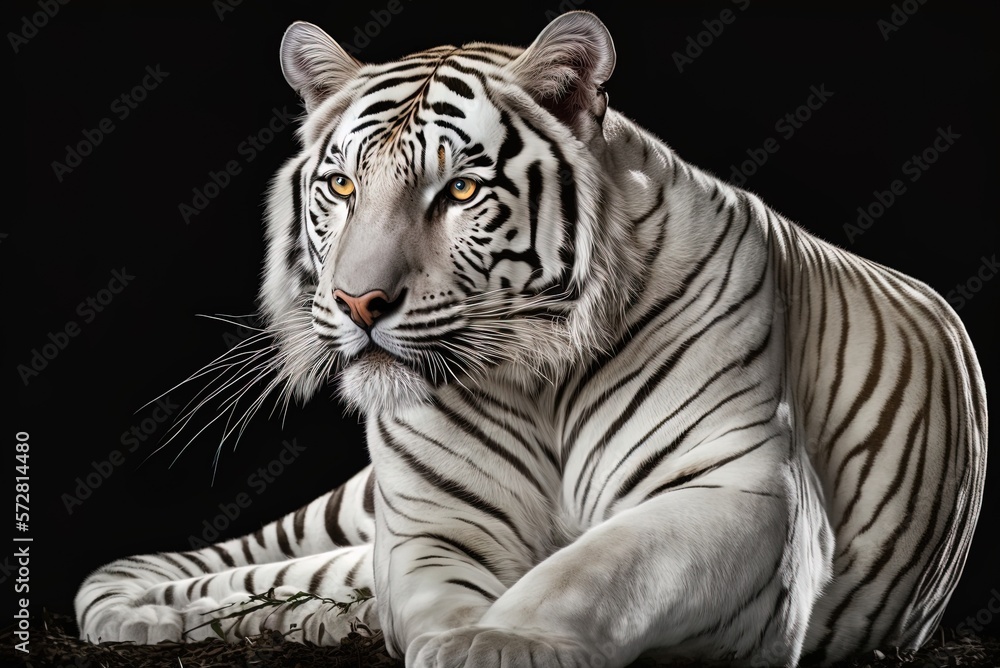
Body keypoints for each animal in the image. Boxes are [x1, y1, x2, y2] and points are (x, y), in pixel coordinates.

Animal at [75, 11, 987, 668]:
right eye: (341, 186)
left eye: (459, 191)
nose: (358, 301)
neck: (537, 380)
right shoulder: (432, 515)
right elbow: (436, 590)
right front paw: (458, 636)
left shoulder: (742, 491)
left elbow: (600, 567)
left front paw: (499, 643)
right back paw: (149, 618)